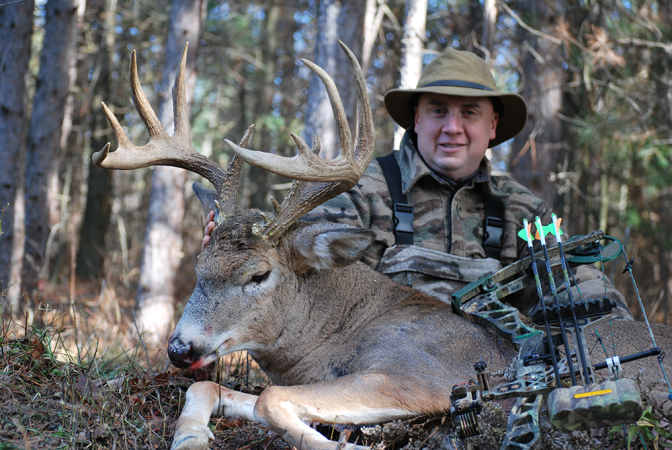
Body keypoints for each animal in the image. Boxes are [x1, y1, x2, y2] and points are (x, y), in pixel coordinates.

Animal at [93, 42, 672, 450]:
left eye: (258, 275)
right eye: (199, 265)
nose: (179, 348)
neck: (330, 337)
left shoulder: (423, 376)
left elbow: (271, 400)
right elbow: (210, 389)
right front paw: (192, 436)